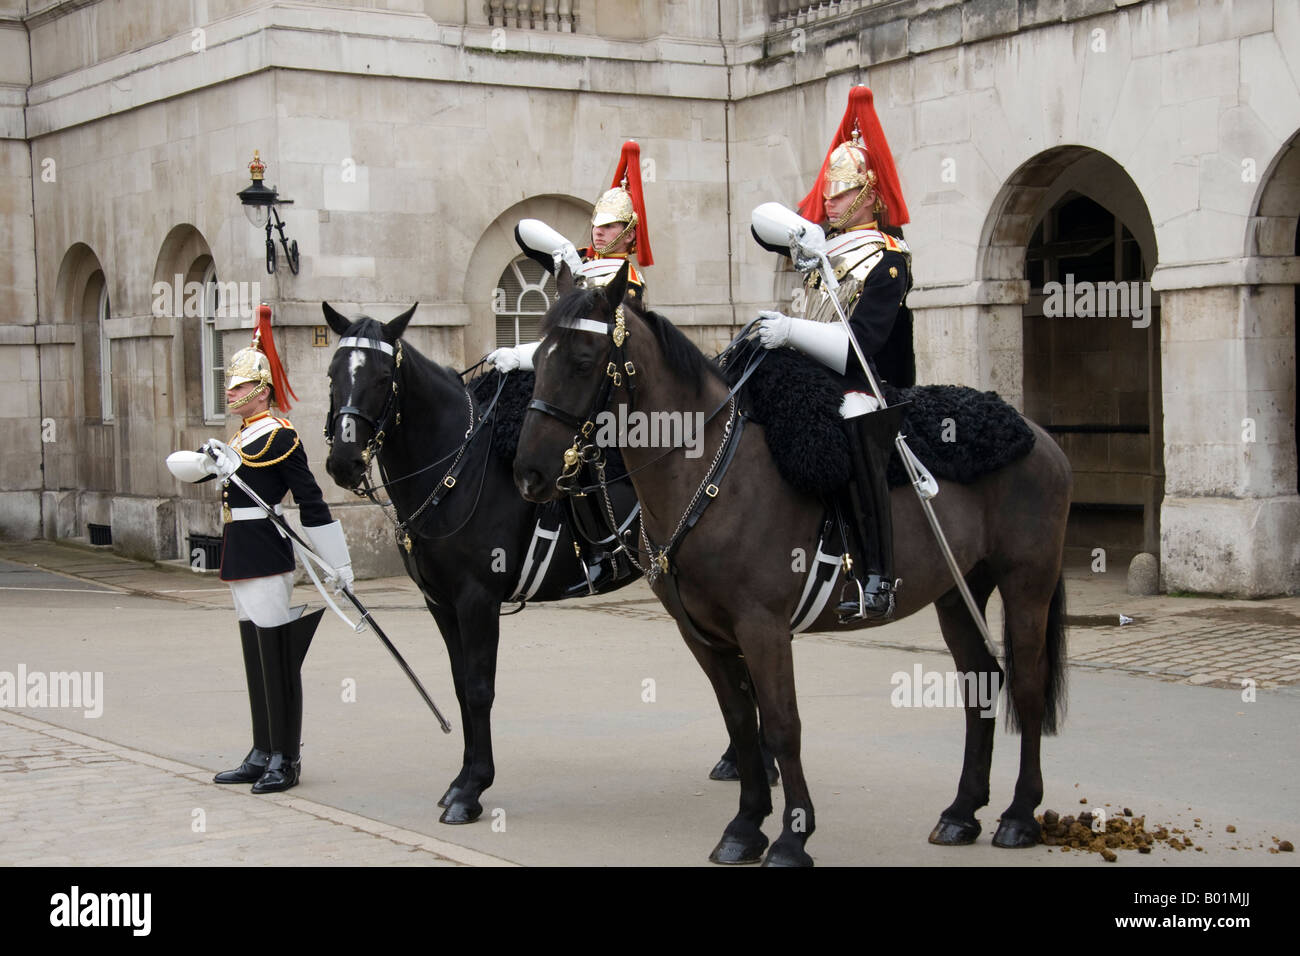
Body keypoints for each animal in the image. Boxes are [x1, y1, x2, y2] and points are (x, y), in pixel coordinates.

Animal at [512, 263, 1072, 866]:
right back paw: (962, 812)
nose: (529, 474)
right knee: (980, 686)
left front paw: (791, 836)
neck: (709, 474)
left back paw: (1019, 815)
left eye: (583, 359)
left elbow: (782, 725)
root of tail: (1038, 436)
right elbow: (740, 719)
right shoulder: (702, 633)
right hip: (958, 590)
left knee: (1027, 685)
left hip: (1026, 585)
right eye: (538, 356)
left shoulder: (763, 627)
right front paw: (745, 826)